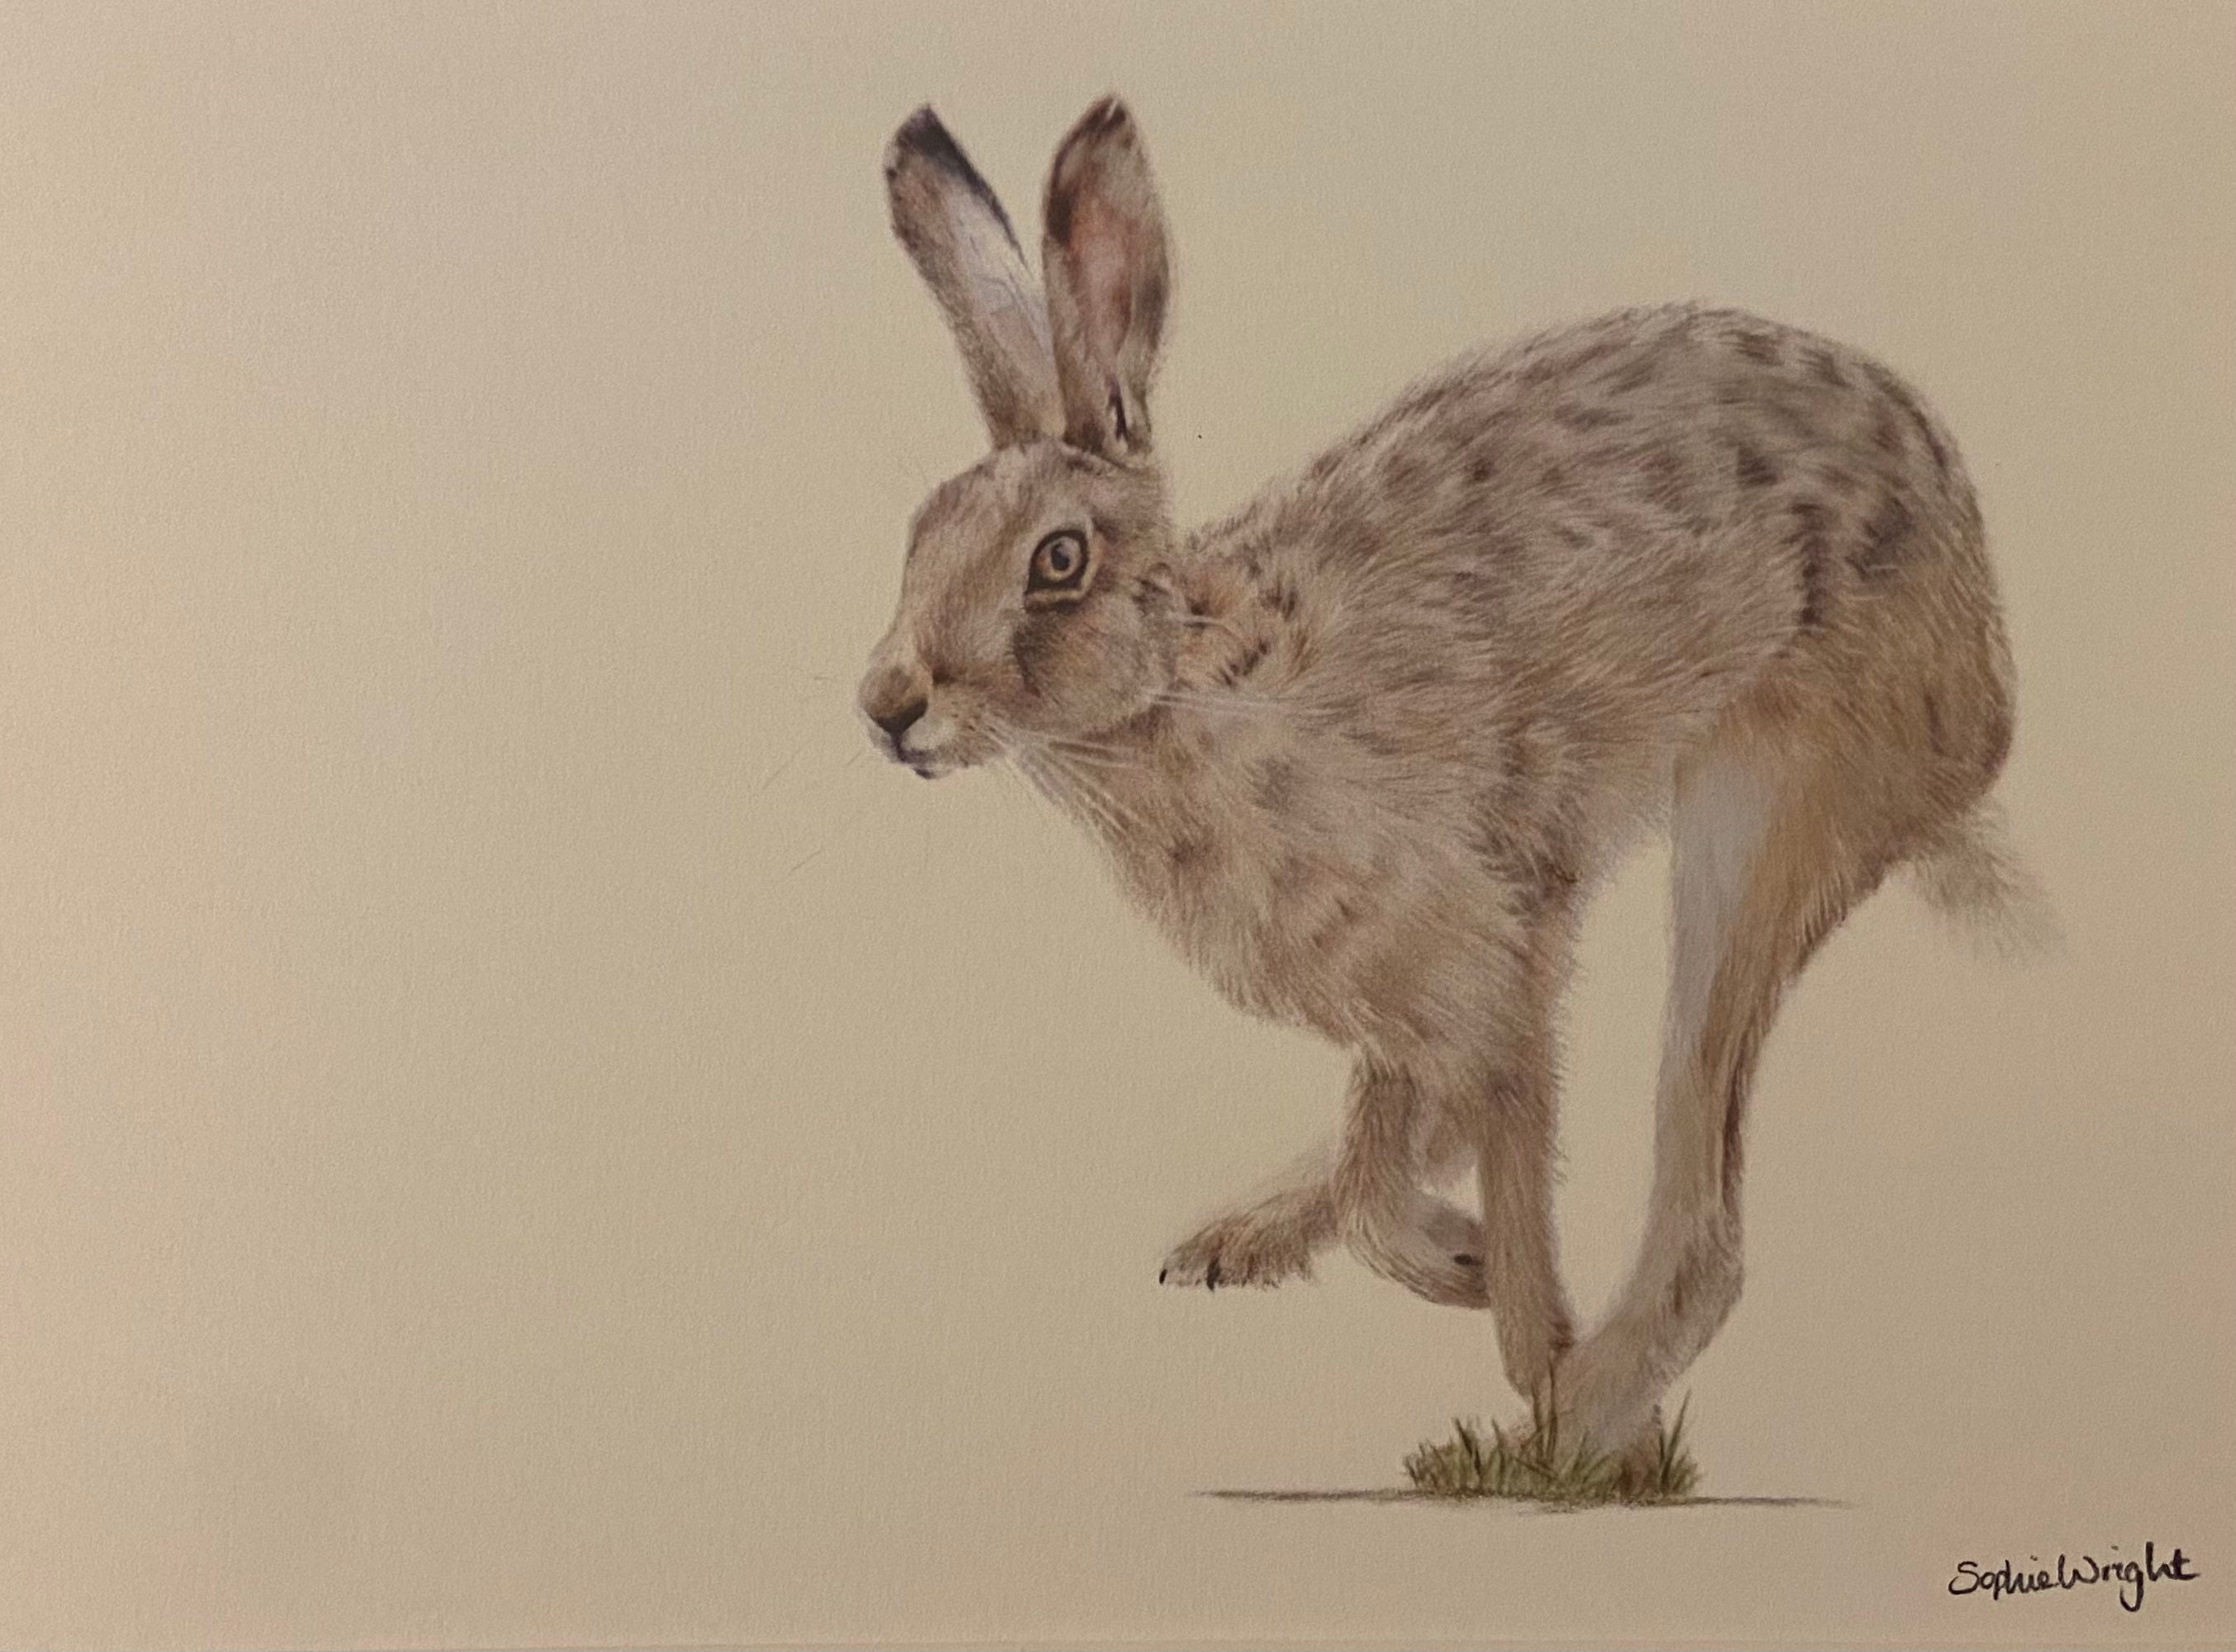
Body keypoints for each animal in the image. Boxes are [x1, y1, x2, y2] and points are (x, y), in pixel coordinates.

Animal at [857, 96, 2041, 1470]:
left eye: (1058, 560)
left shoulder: (1493, 958)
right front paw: (1450, 1259)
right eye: (919, 535)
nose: (886, 705)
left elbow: (1490, 1169)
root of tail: (1981, 631)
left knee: (1706, 1220)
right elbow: (1382, 1157)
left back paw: (1578, 1425)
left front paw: (1515, 1327)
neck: (1196, 683)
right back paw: (1246, 1242)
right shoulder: (1411, 998)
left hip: (1762, 814)